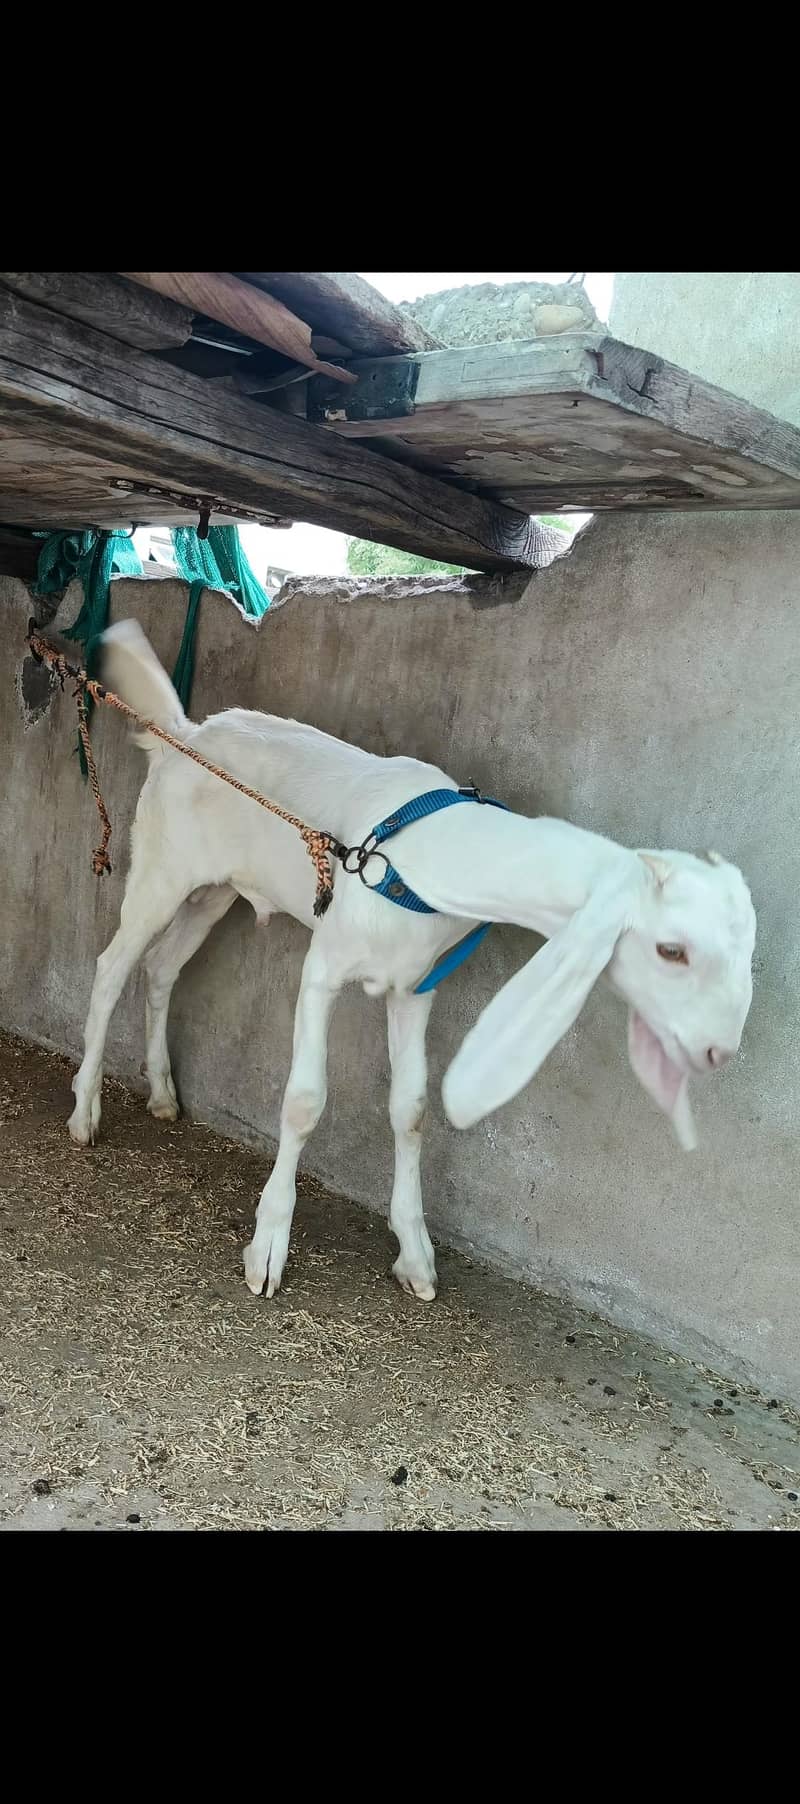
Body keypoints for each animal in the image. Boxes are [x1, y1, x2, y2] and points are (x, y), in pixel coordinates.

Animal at [66, 619, 757, 1303]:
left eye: (745, 951)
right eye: (672, 949)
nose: (720, 1051)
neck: (427, 857)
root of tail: (182, 735)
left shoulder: (415, 986)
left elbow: (413, 1107)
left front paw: (417, 1257)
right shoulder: (324, 967)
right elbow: (305, 1099)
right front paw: (267, 1253)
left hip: (216, 892)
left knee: (162, 966)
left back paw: (162, 1094)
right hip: (161, 870)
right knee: (111, 965)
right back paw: (84, 1113)